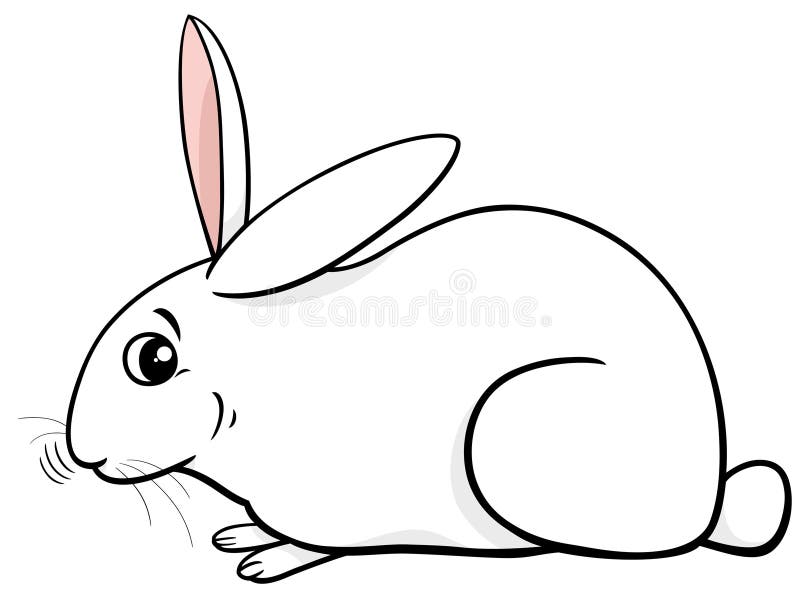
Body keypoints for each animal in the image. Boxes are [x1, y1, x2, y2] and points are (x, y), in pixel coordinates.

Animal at [64, 16, 791, 584]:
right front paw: (243, 535)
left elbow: (316, 546)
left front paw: (268, 558)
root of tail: (707, 500)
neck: (258, 386)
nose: (80, 453)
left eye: (153, 359)